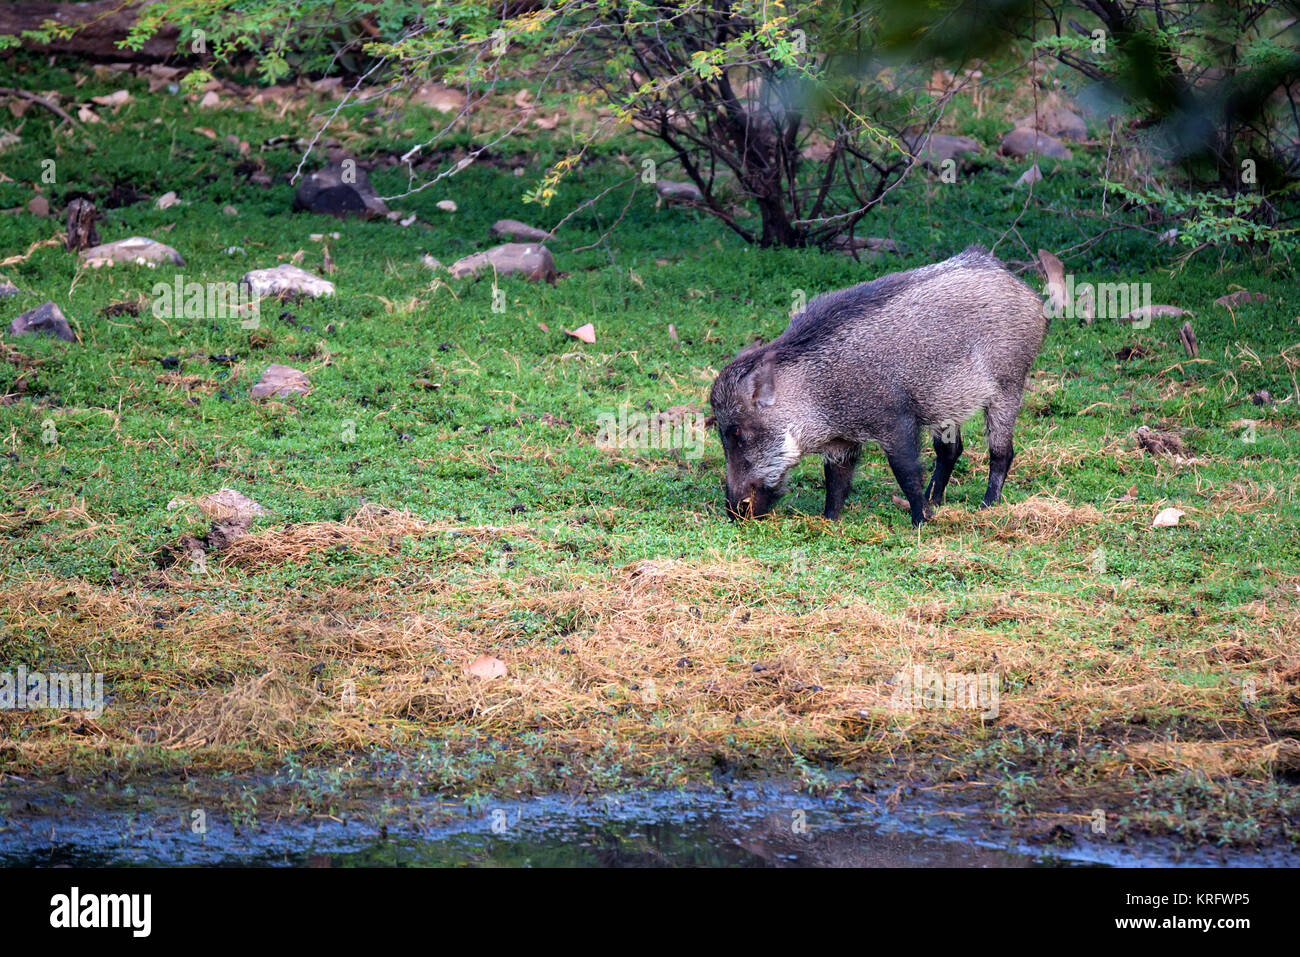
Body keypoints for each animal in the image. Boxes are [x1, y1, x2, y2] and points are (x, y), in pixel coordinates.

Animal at [708, 246, 1047, 525]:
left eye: (738, 433)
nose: (734, 512)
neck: (814, 391)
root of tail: (1027, 291)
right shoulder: (841, 442)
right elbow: (836, 481)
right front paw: (829, 521)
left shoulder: (895, 420)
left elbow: (905, 471)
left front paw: (921, 522)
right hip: (946, 402)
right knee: (950, 450)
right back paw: (937, 500)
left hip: (1009, 384)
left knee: (1002, 452)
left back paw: (987, 506)